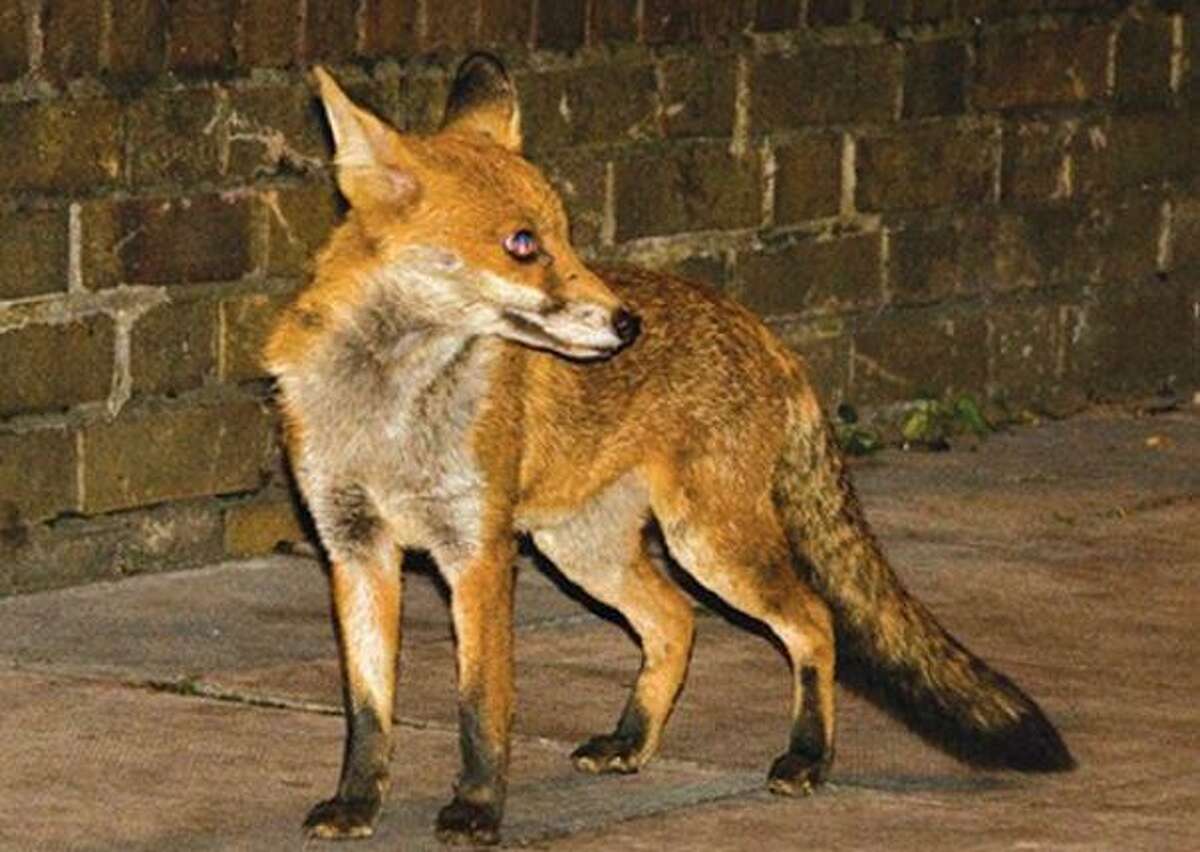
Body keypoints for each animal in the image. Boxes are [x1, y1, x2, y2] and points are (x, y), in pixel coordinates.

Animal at [265, 54, 1074, 845]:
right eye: (523, 245)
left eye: (566, 235)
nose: (628, 325)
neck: (387, 413)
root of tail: (762, 328)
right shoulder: (355, 548)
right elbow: (369, 709)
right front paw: (356, 805)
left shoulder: (478, 550)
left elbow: (482, 702)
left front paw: (477, 811)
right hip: (584, 549)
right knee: (676, 621)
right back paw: (634, 741)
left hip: (706, 543)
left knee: (812, 618)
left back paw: (808, 757)